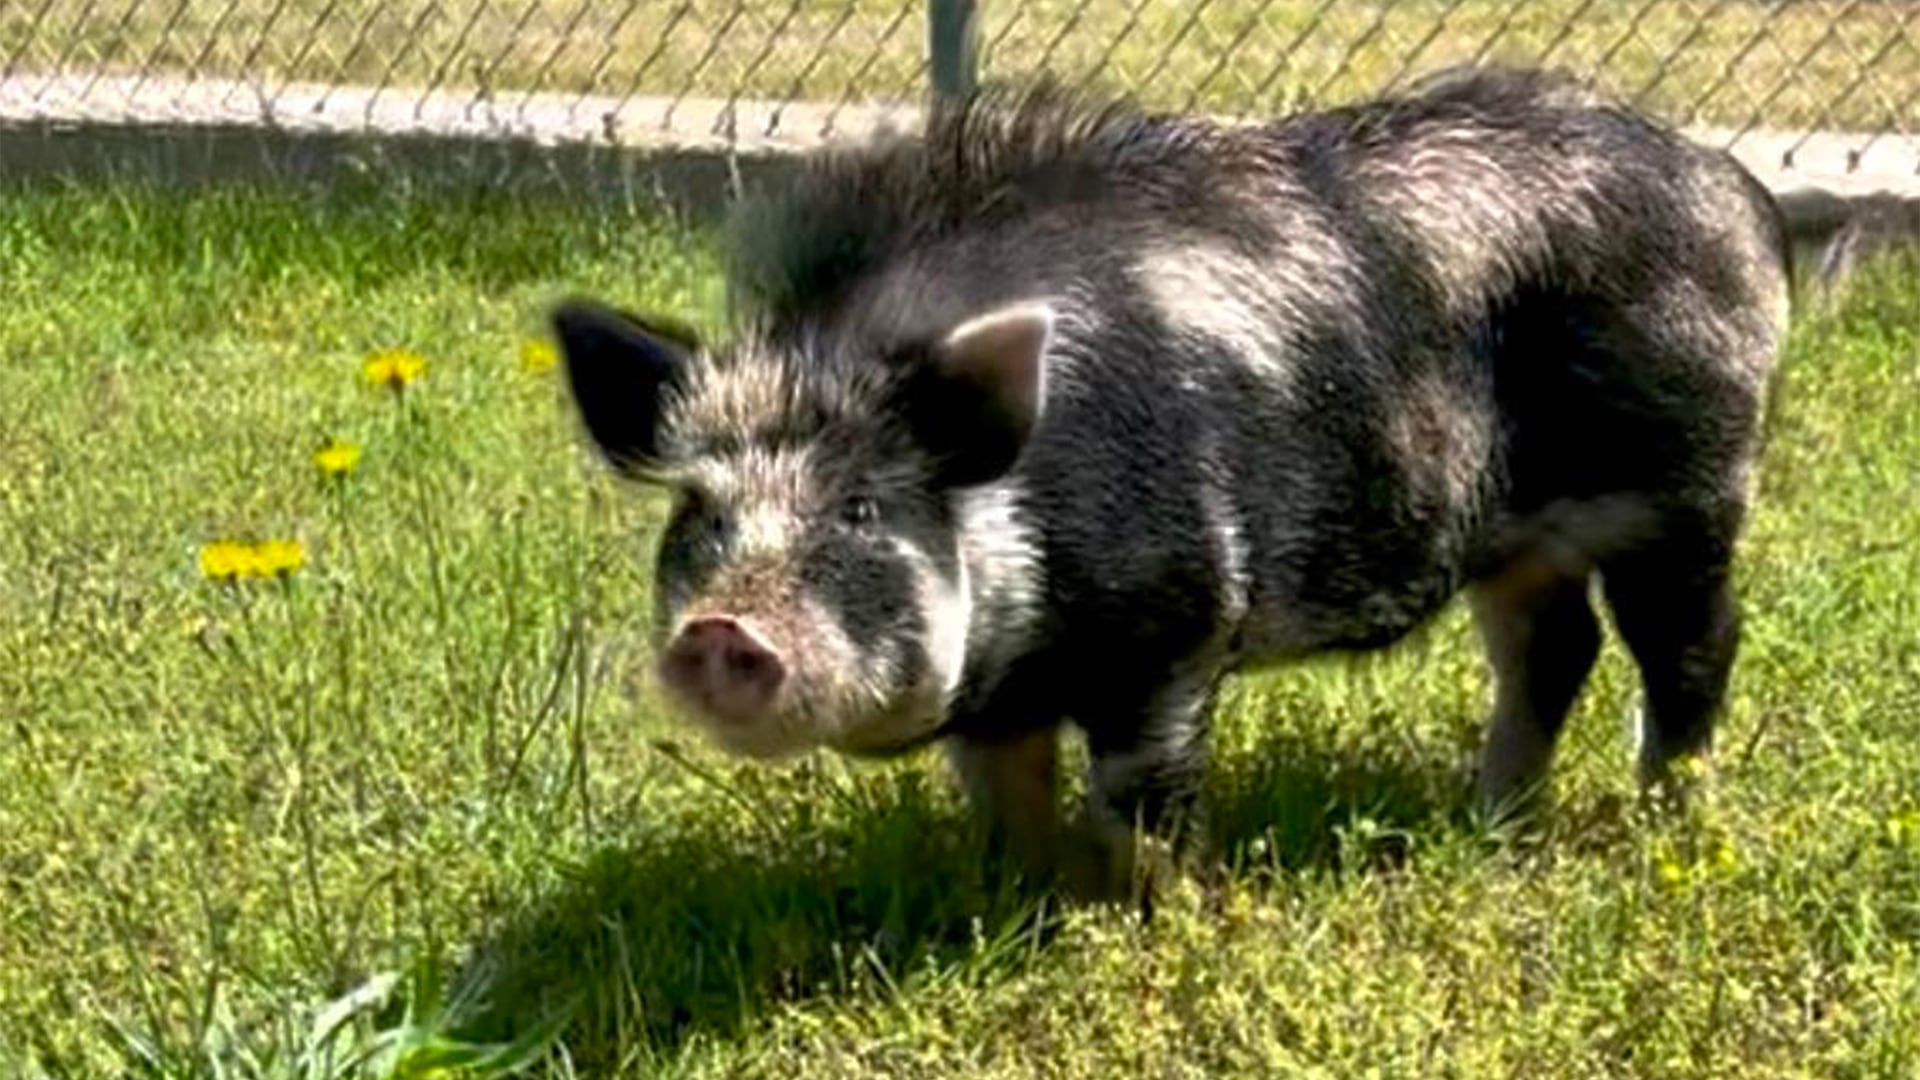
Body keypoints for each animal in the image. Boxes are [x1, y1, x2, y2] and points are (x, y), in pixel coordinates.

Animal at [549, 65, 1800, 895]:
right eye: (699, 514)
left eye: (861, 508)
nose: (720, 630)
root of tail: (1730, 183)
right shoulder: (998, 700)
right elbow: (1003, 799)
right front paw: (1011, 902)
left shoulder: (1176, 627)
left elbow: (1138, 806)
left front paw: (1157, 921)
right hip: (1515, 536)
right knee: (1554, 650)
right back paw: (1489, 822)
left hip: (1685, 489)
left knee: (1691, 650)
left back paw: (1669, 827)